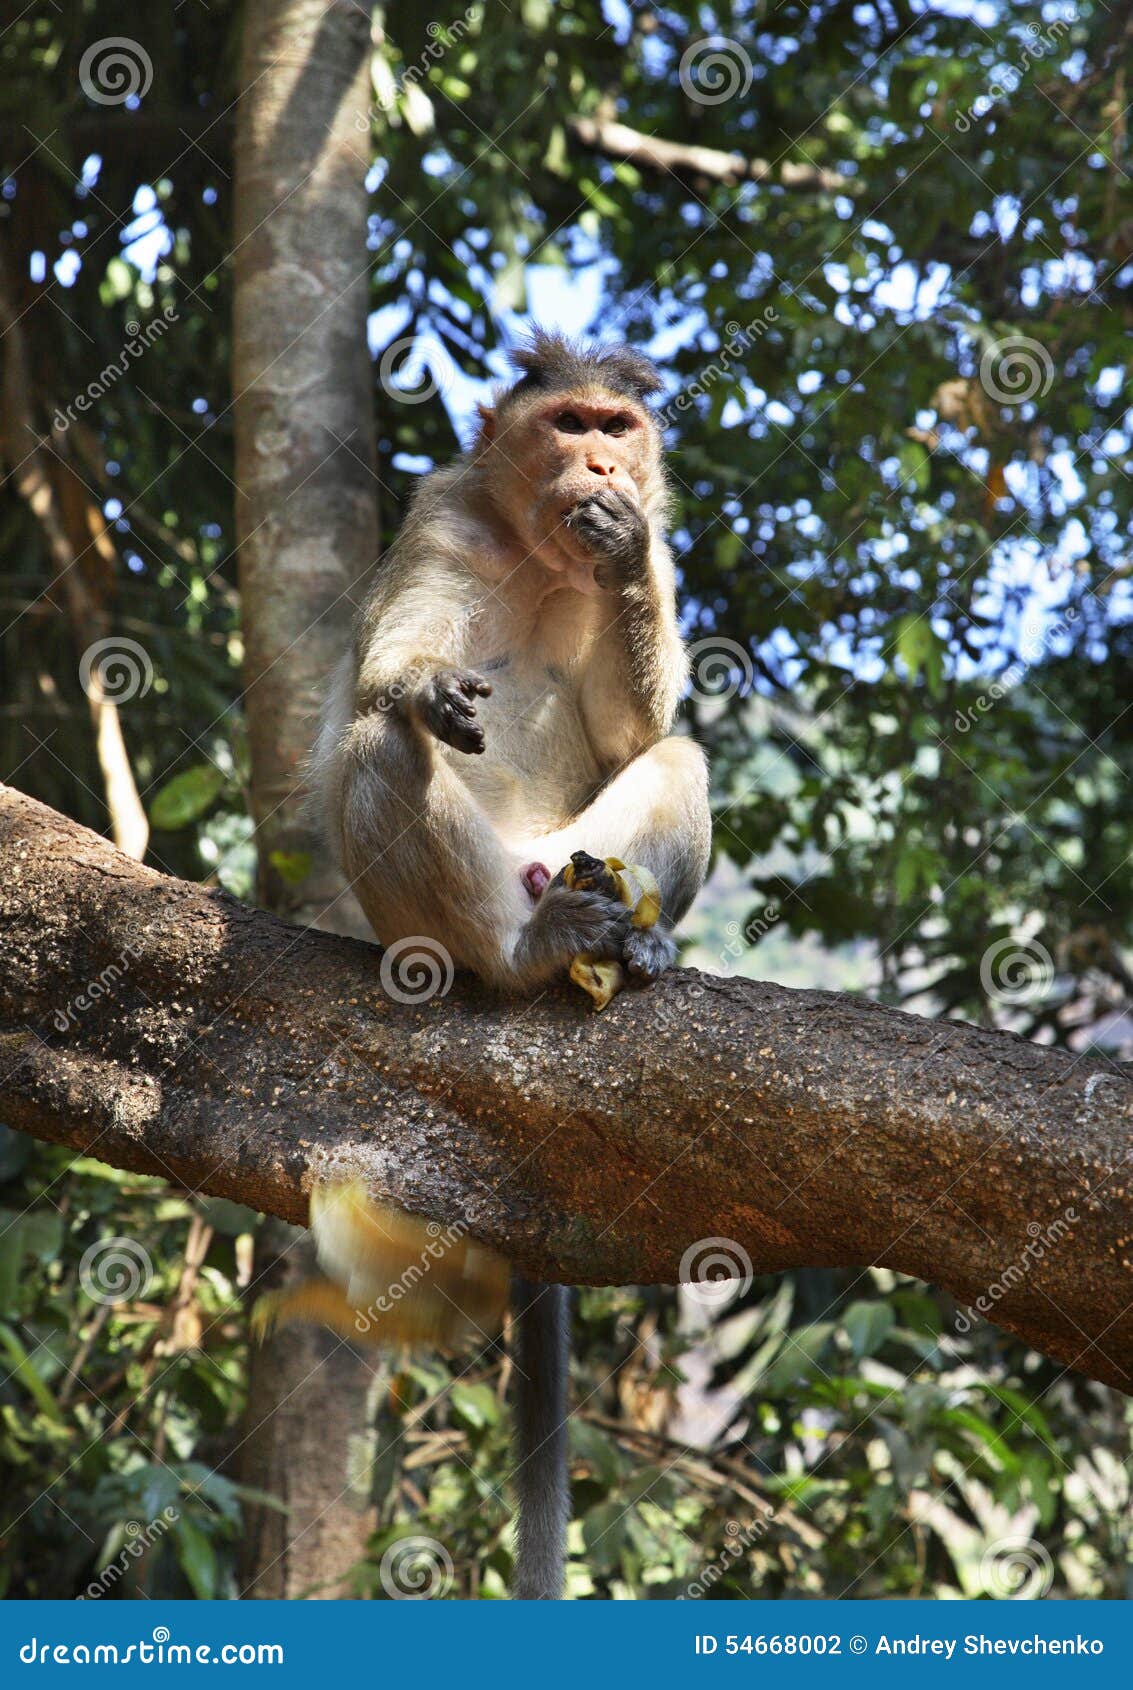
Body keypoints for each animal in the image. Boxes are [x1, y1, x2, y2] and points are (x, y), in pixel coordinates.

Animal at [310, 330, 712, 1599]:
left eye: (615, 428)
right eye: (567, 422)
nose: (599, 462)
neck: (537, 550)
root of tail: (534, 872)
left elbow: (639, 734)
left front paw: (620, 546)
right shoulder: (438, 518)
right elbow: (390, 683)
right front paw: (421, 686)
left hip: (582, 853)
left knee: (676, 758)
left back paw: (631, 937)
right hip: (437, 915)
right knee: (381, 746)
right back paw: (521, 955)